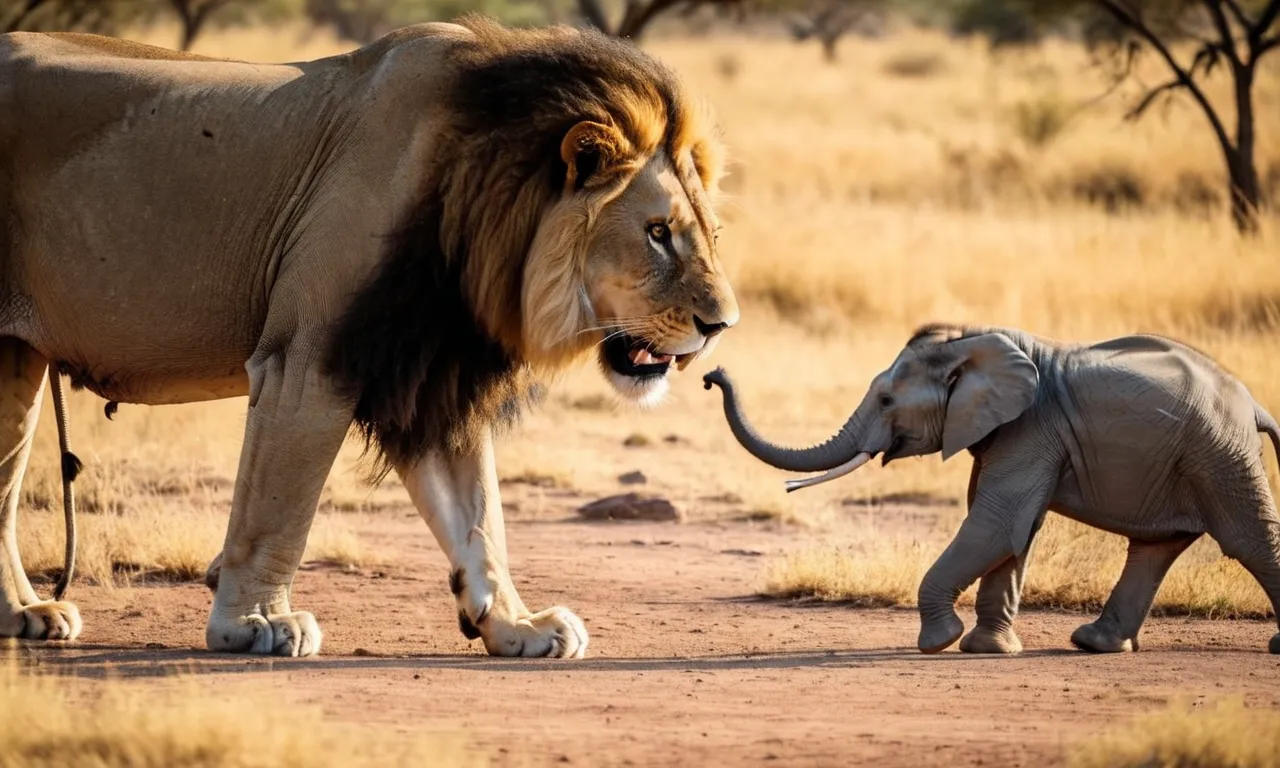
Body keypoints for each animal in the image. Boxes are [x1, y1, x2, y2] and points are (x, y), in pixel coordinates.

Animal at [0, 15, 738, 657]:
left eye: (710, 233)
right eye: (657, 234)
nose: (720, 325)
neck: (479, 206)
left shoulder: (433, 371)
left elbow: (478, 519)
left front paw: (516, 626)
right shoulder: (306, 359)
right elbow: (280, 508)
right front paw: (254, 622)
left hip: (15, 363)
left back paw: (25, 613)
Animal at [703, 323, 1280, 655]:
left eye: (887, 402)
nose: (712, 374)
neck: (973, 345)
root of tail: (1252, 405)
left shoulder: (1031, 427)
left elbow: (997, 525)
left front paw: (941, 642)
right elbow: (1012, 530)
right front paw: (988, 649)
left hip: (1219, 453)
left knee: (1248, 540)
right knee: (1155, 548)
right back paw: (1094, 644)